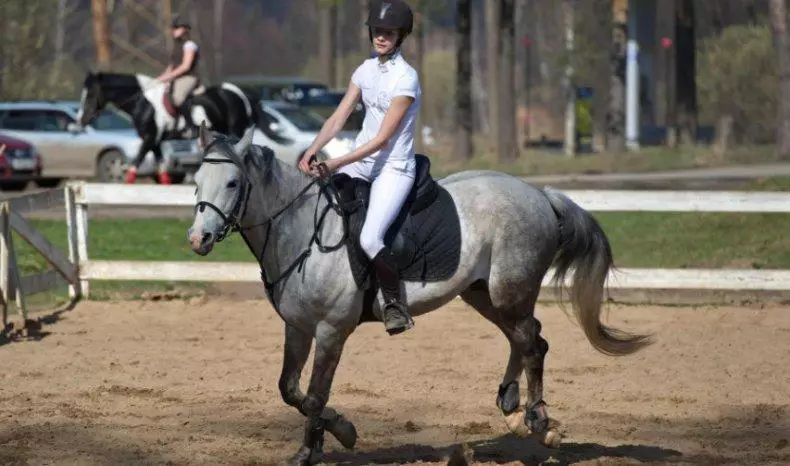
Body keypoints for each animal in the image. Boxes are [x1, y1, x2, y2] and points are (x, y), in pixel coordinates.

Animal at [75, 72, 288, 174]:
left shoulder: (149, 139)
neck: (143, 101)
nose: (81, 119)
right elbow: (161, 170)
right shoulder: (156, 142)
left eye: (91, 94)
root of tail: (240, 92)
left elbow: (135, 164)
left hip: (236, 130)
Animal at [189, 124, 652, 466]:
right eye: (195, 181)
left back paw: (538, 420)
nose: (198, 239)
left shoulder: (331, 331)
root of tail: (539, 194)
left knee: (533, 343)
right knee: (525, 338)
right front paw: (335, 434)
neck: (304, 231)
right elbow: (291, 390)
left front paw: (316, 448)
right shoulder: (298, 329)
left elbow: (317, 395)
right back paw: (513, 407)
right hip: (484, 294)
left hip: (509, 292)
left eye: (232, 182)